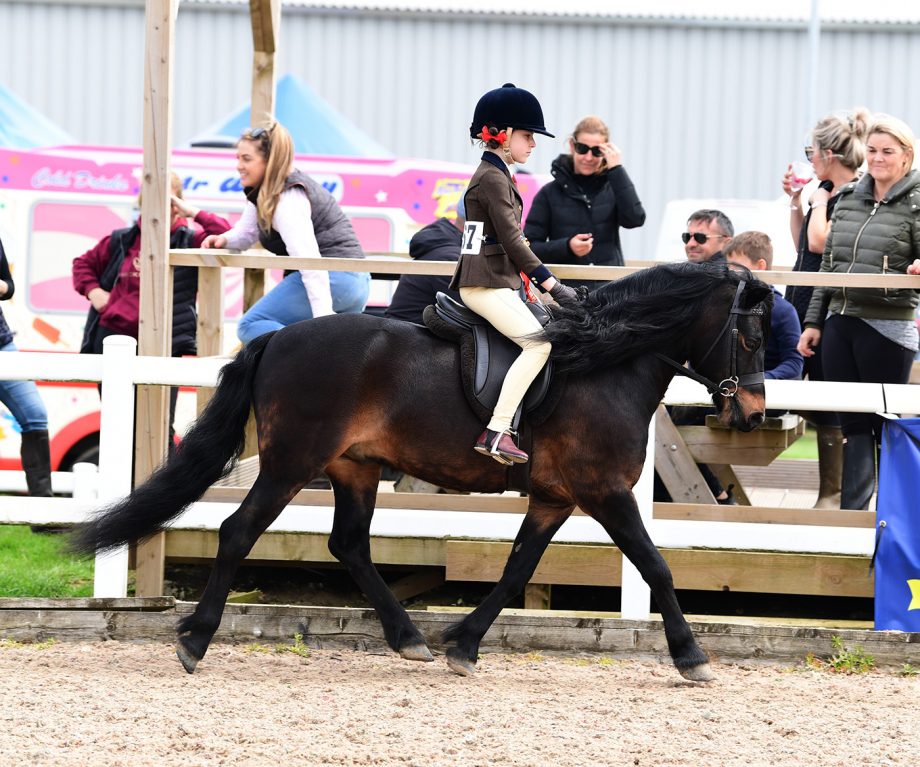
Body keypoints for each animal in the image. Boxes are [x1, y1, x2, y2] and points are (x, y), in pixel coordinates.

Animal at [74, 260, 772, 682]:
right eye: (752, 335)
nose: (754, 411)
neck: (605, 359)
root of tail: (278, 338)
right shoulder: (606, 493)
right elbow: (655, 565)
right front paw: (692, 656)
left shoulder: (554, 497)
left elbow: (517, 568)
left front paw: (462, 646)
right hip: (291, 463)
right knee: (239, 532)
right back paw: (194, 641)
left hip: (355, 468)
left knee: (349, 545)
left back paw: (408, 635)